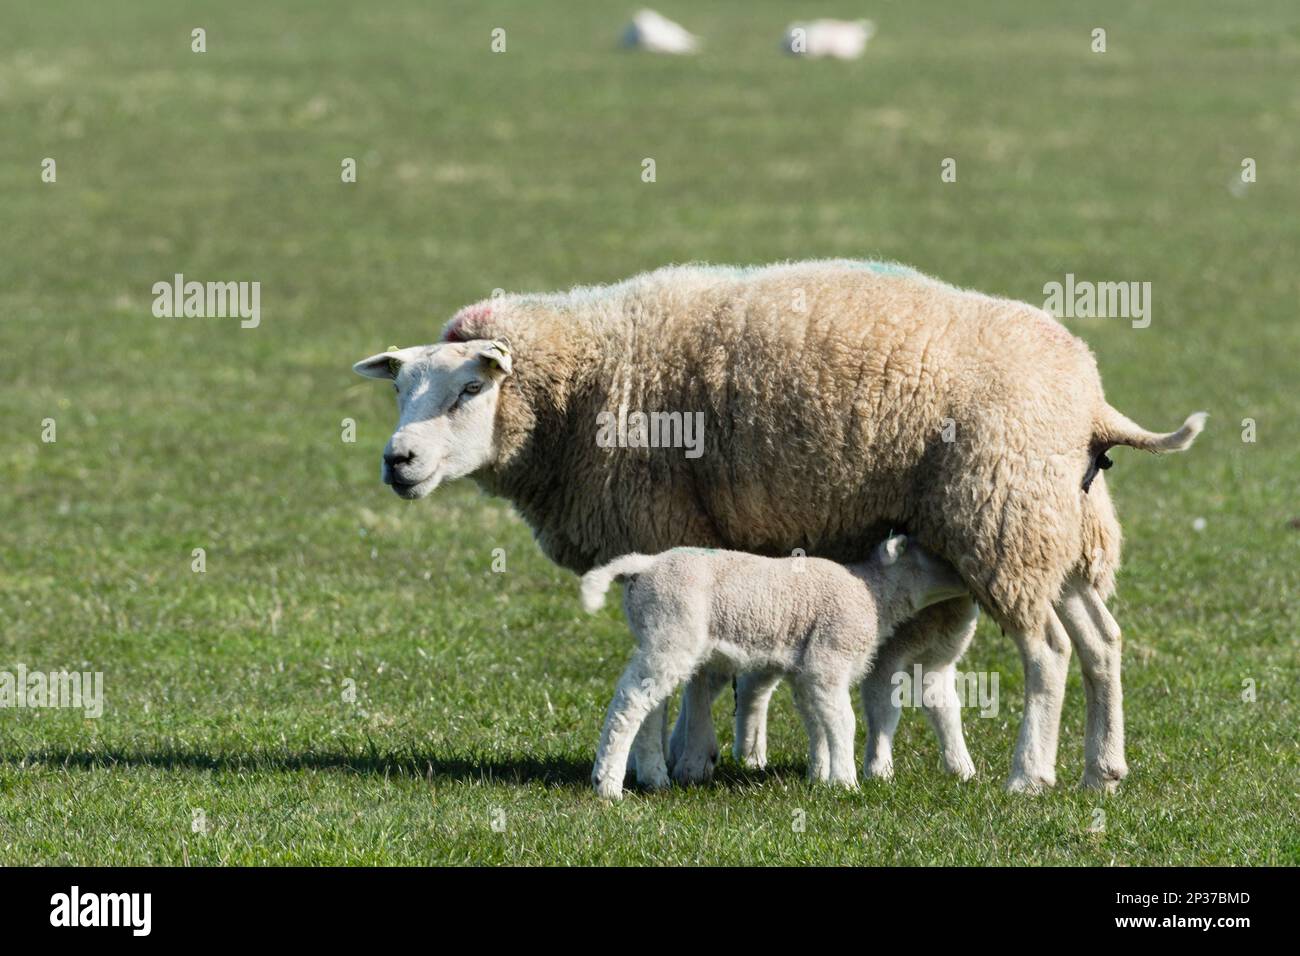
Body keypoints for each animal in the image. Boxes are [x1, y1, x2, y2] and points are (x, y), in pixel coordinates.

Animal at [581, 535, 968, 799]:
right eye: (935, 553)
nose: (968, 576)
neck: (873, 593)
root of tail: (644, 565)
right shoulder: (829, 658)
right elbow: (844, 721)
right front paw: (845, 782)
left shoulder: (805, 671)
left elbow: (817, 722)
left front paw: (820, 775)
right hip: (673, 630)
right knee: (630, 702)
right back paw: (608, 784)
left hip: (659, 634)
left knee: (650, 705)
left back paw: (654, 777)